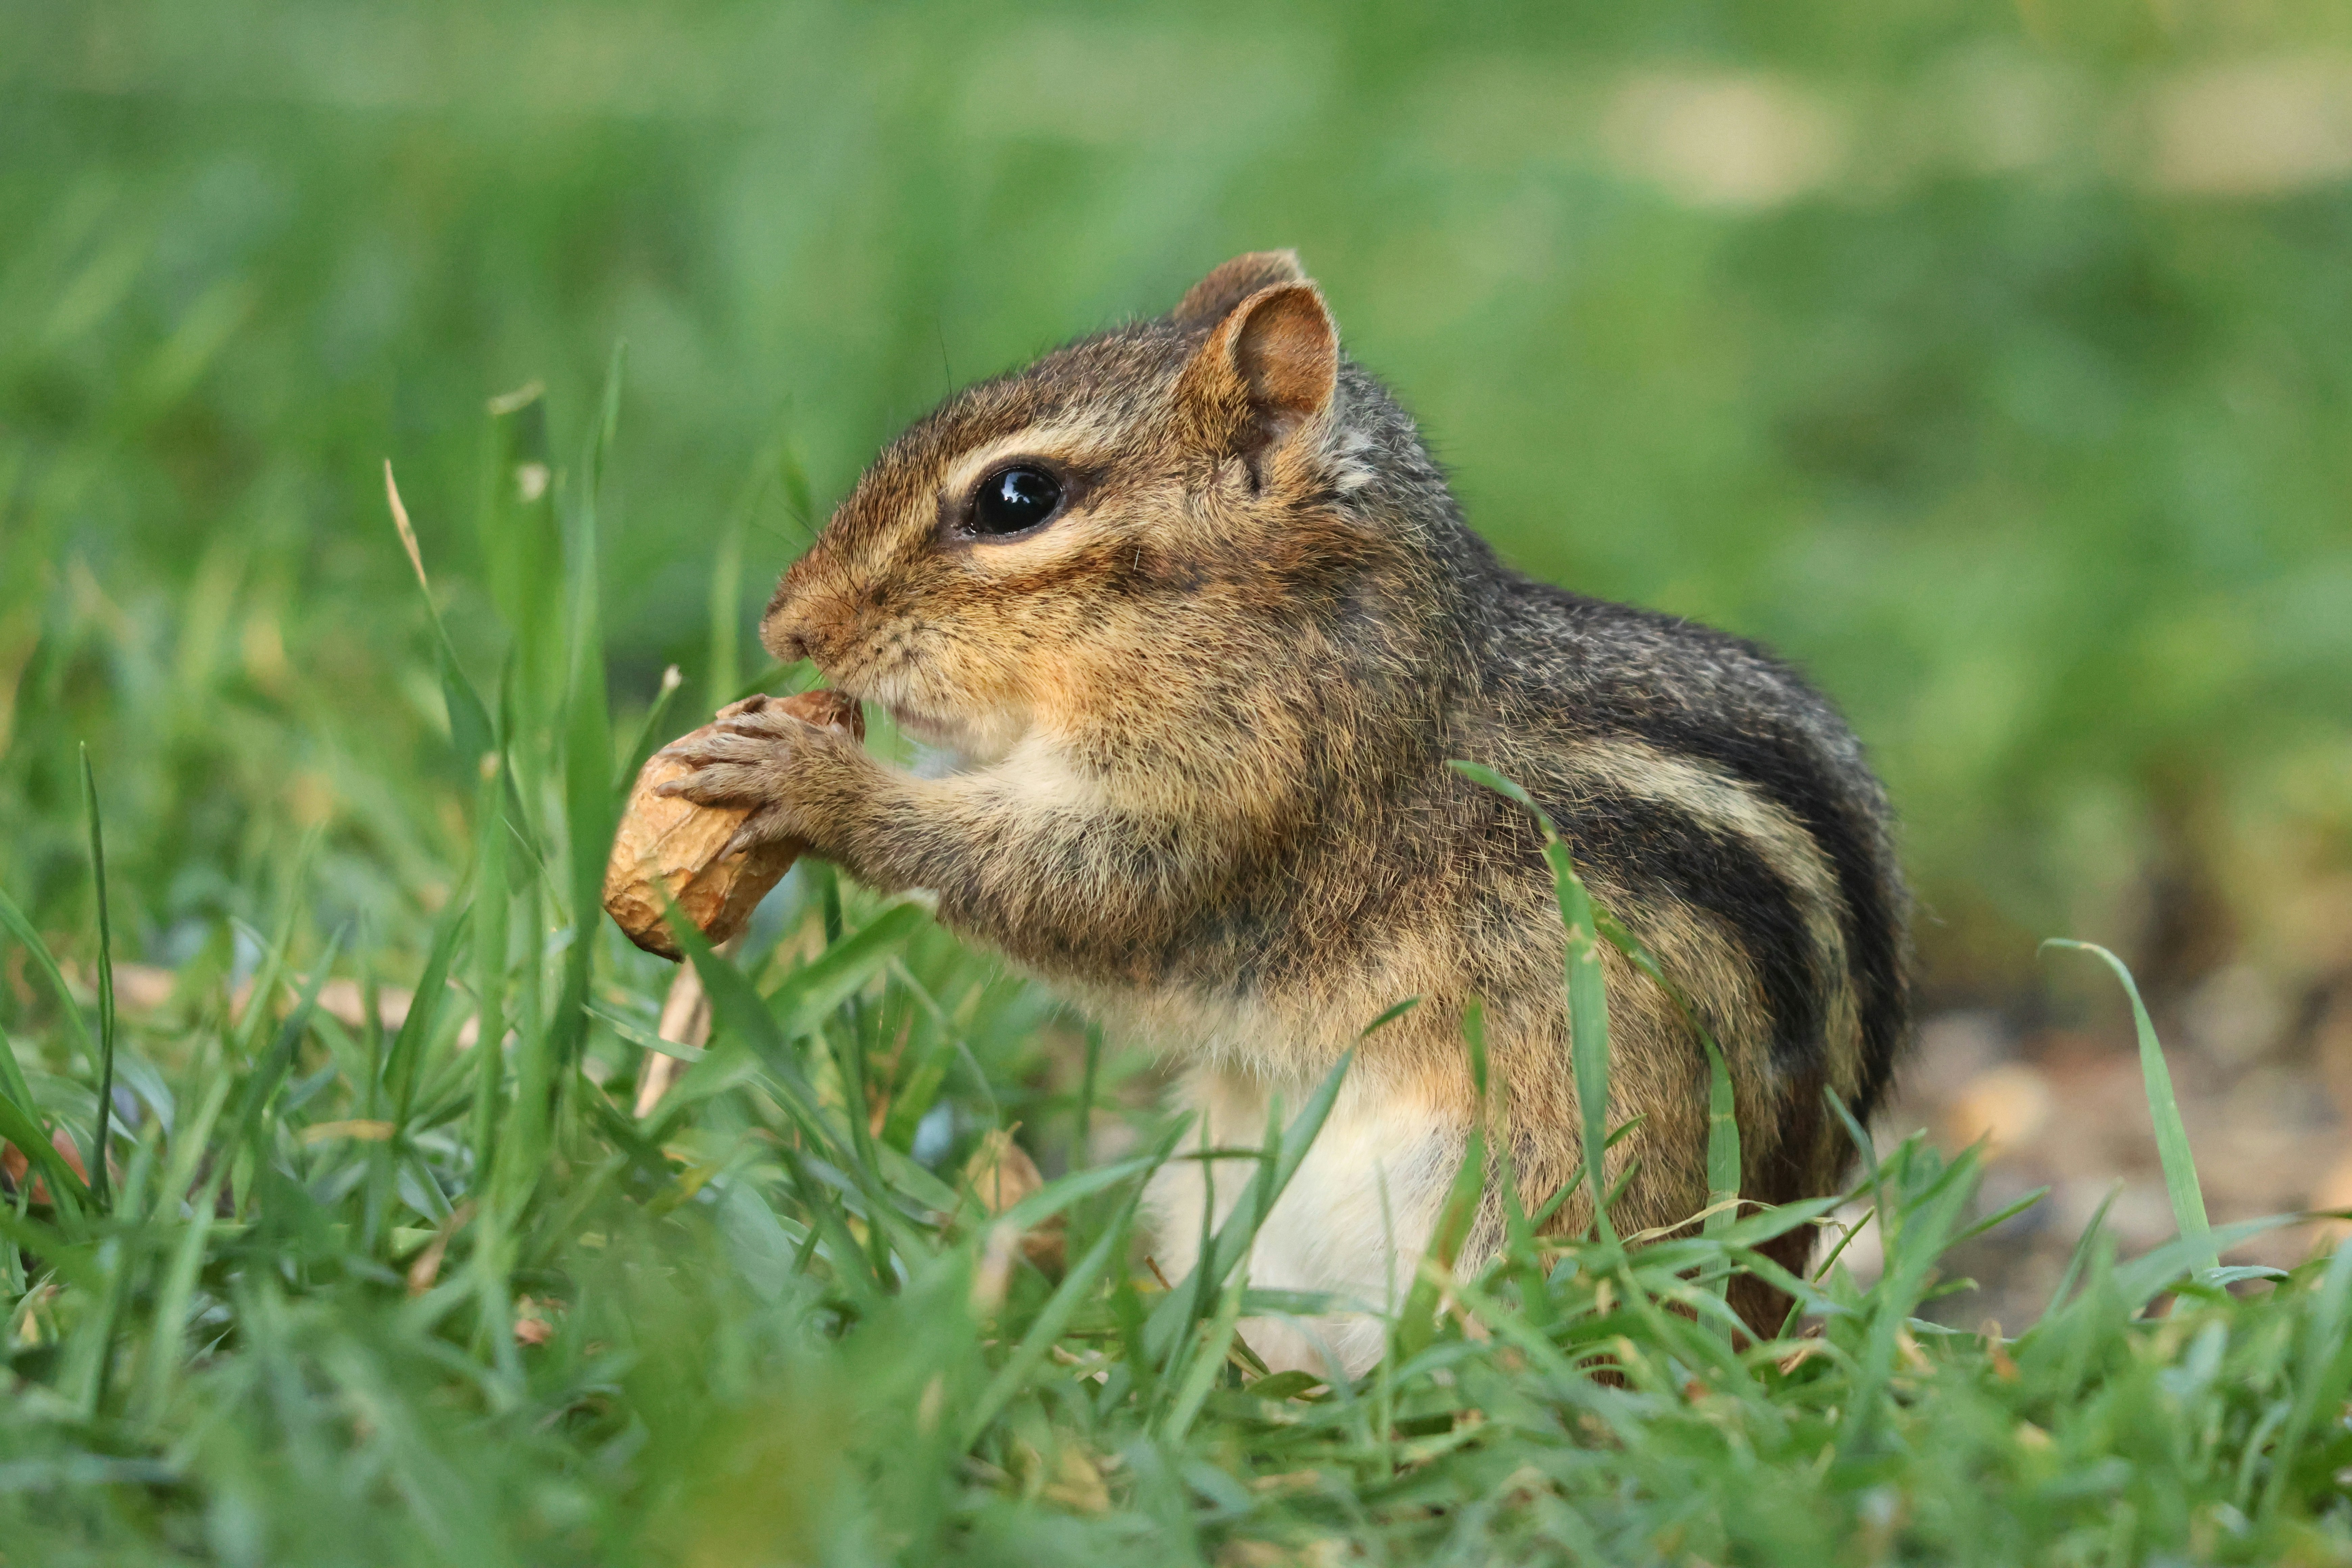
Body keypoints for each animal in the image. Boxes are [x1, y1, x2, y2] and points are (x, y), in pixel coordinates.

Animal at [657, 251, 1910, 1373]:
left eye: (1018, 499)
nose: (786, 627)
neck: (1292, 623)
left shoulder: (1242, 792)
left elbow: (1072, 892)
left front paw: (805, 780)